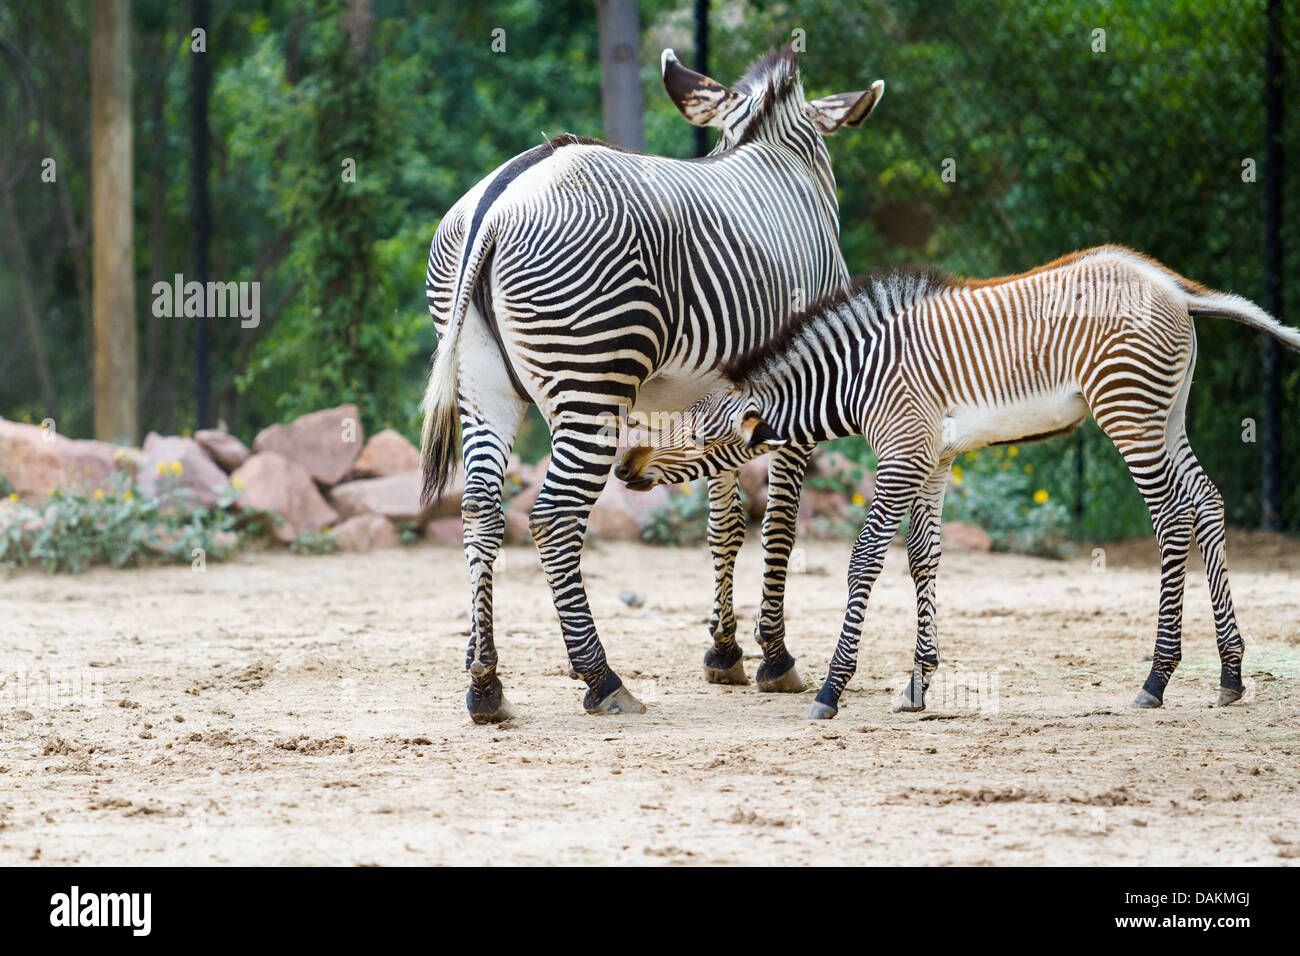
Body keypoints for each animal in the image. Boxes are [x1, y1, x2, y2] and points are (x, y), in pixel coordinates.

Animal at [421, 48, 886, 722]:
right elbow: (779, 526)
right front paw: (774, 659)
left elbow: (725, 523)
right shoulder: (798, 394)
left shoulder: (723, 406)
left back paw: (486, 681)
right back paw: (601, 679)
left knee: (480, 508)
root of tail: (499, 202)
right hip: (590, 385)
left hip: (482, 387)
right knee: (553, 516)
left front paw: (725, 652)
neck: (776, 158)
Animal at [616, 245, 1300, 719]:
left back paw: (1156, 679)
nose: (625, 466)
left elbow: (865, 560)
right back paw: (1230, 676)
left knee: (1172, 518)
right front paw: (919, 683)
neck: (859, 377)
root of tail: (1171, 286)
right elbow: (923, 558)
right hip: (1166, 413)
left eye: (703, 442)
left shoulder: (899, 455)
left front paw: (834, 688)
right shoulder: (933, 459)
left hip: (1129, 413)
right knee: (1206, 502)